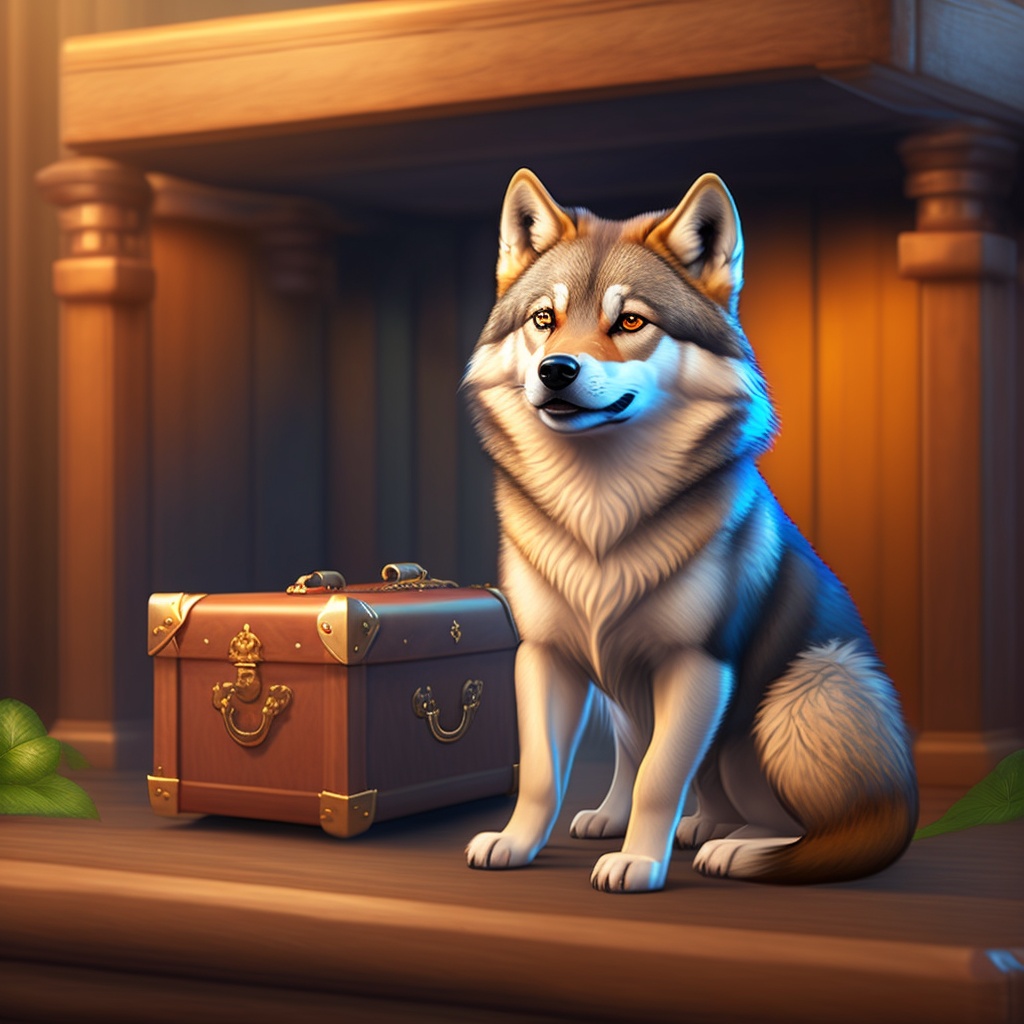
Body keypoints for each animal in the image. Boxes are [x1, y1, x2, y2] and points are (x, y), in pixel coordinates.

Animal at [461, 168, 918, 893]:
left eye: (630, 321)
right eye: (543, 319)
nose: (556, 370)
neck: (599, 509)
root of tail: (906, 796)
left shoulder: (697, 665)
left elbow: (658, 777)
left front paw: (640, 863)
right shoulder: (544, 655)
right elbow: (542, 773)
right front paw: (516, 842)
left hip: (802, 687)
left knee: (829, 830)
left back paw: (734, 847)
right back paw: (671, 822)